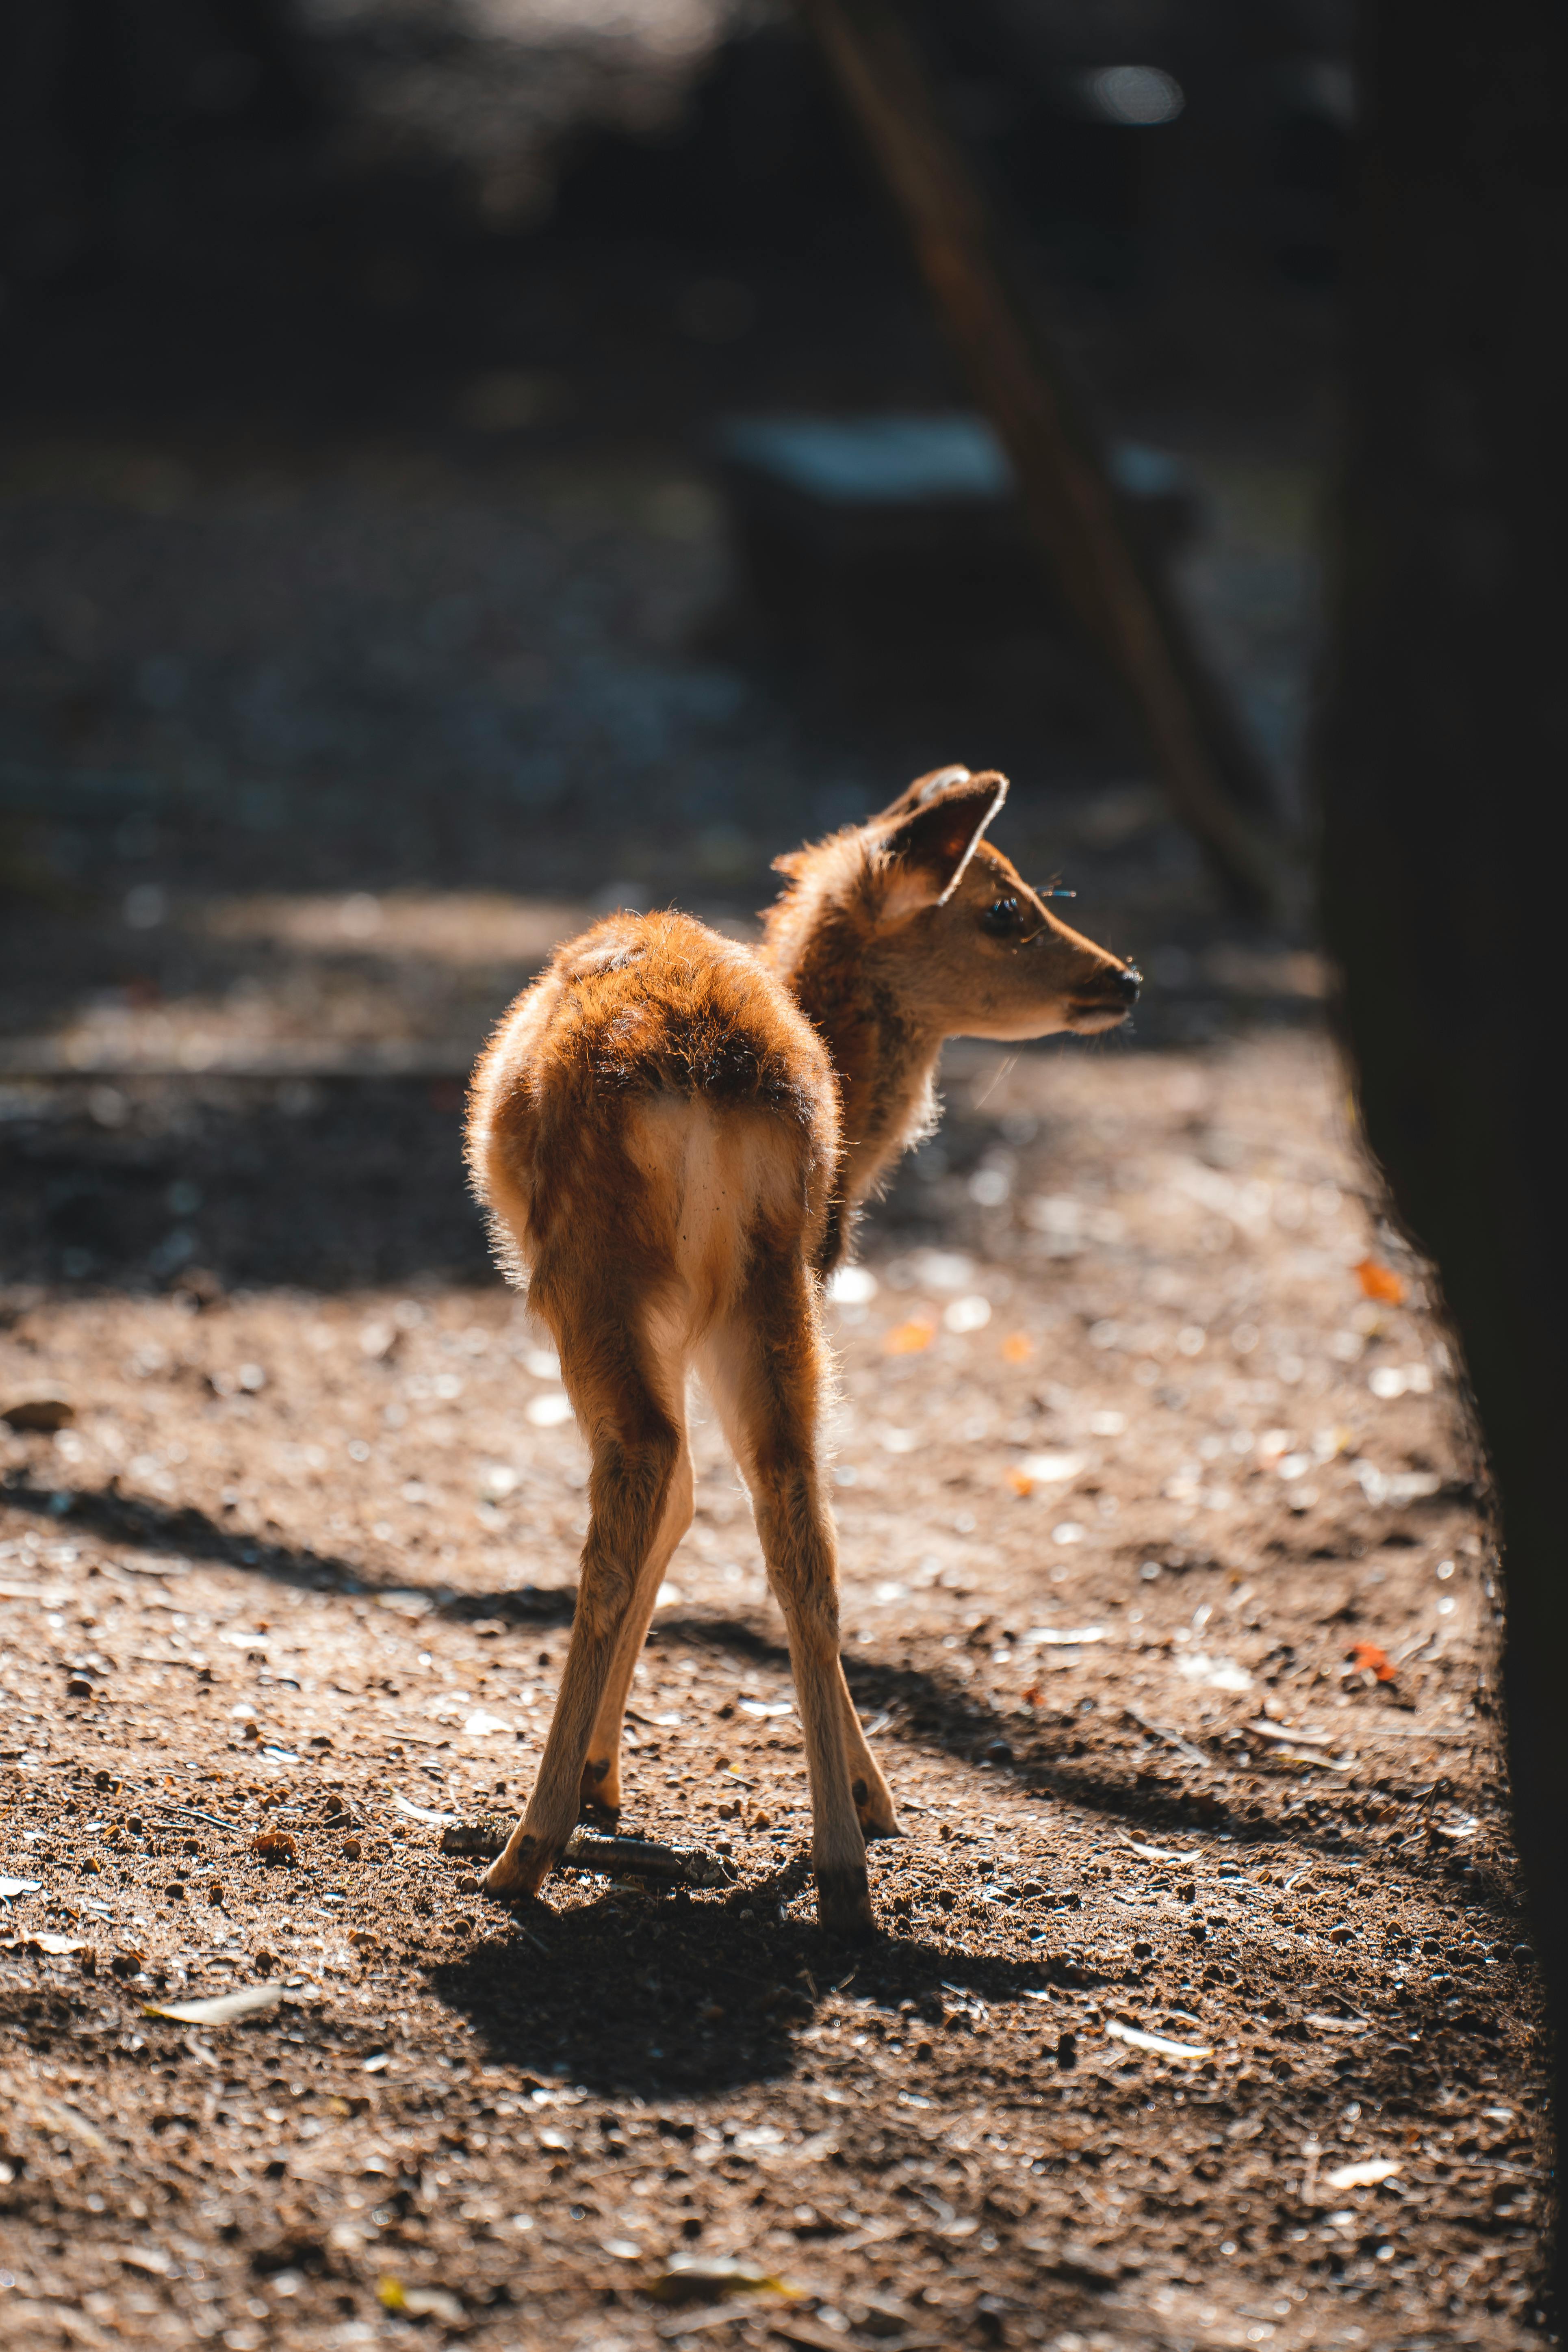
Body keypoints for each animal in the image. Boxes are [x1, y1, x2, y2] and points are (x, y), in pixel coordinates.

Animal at [465, 765, 1139, 1932]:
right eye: (1004, 908)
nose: (1126, 978)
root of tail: (706, 1067)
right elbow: (713, 1506)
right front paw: (870, 1800)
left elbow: (674, 1498)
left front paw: (600, 1779)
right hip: (773, 1284)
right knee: (796, 1516)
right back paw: (844, 1867)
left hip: (592, 1272)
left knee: (641, 1474)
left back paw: (525, 1848)